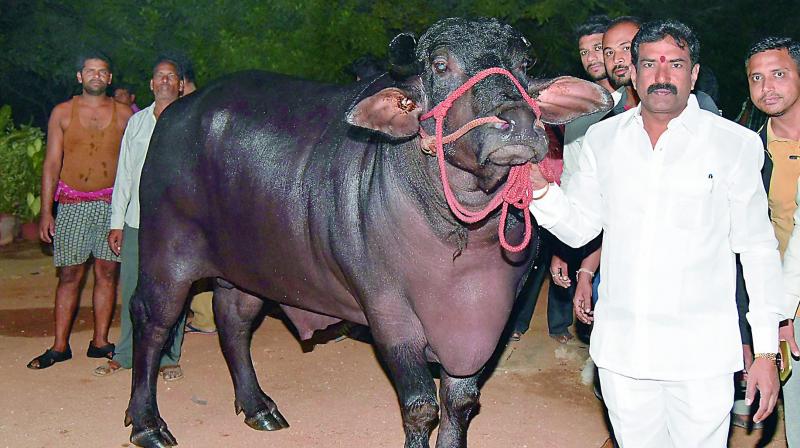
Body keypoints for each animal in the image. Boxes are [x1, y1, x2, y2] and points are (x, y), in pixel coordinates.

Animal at [124, 17, 611, 448]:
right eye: (441, 65)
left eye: (524, 64)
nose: (519, 121)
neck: (462, 236)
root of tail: (177, 114)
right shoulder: (389, 313)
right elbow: (421, 406)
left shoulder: (483, 325)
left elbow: (459, 403)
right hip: (166, 253)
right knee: (151, 319)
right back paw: (148, 424)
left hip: (246, 266)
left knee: (233, 319)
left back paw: (258, 406)